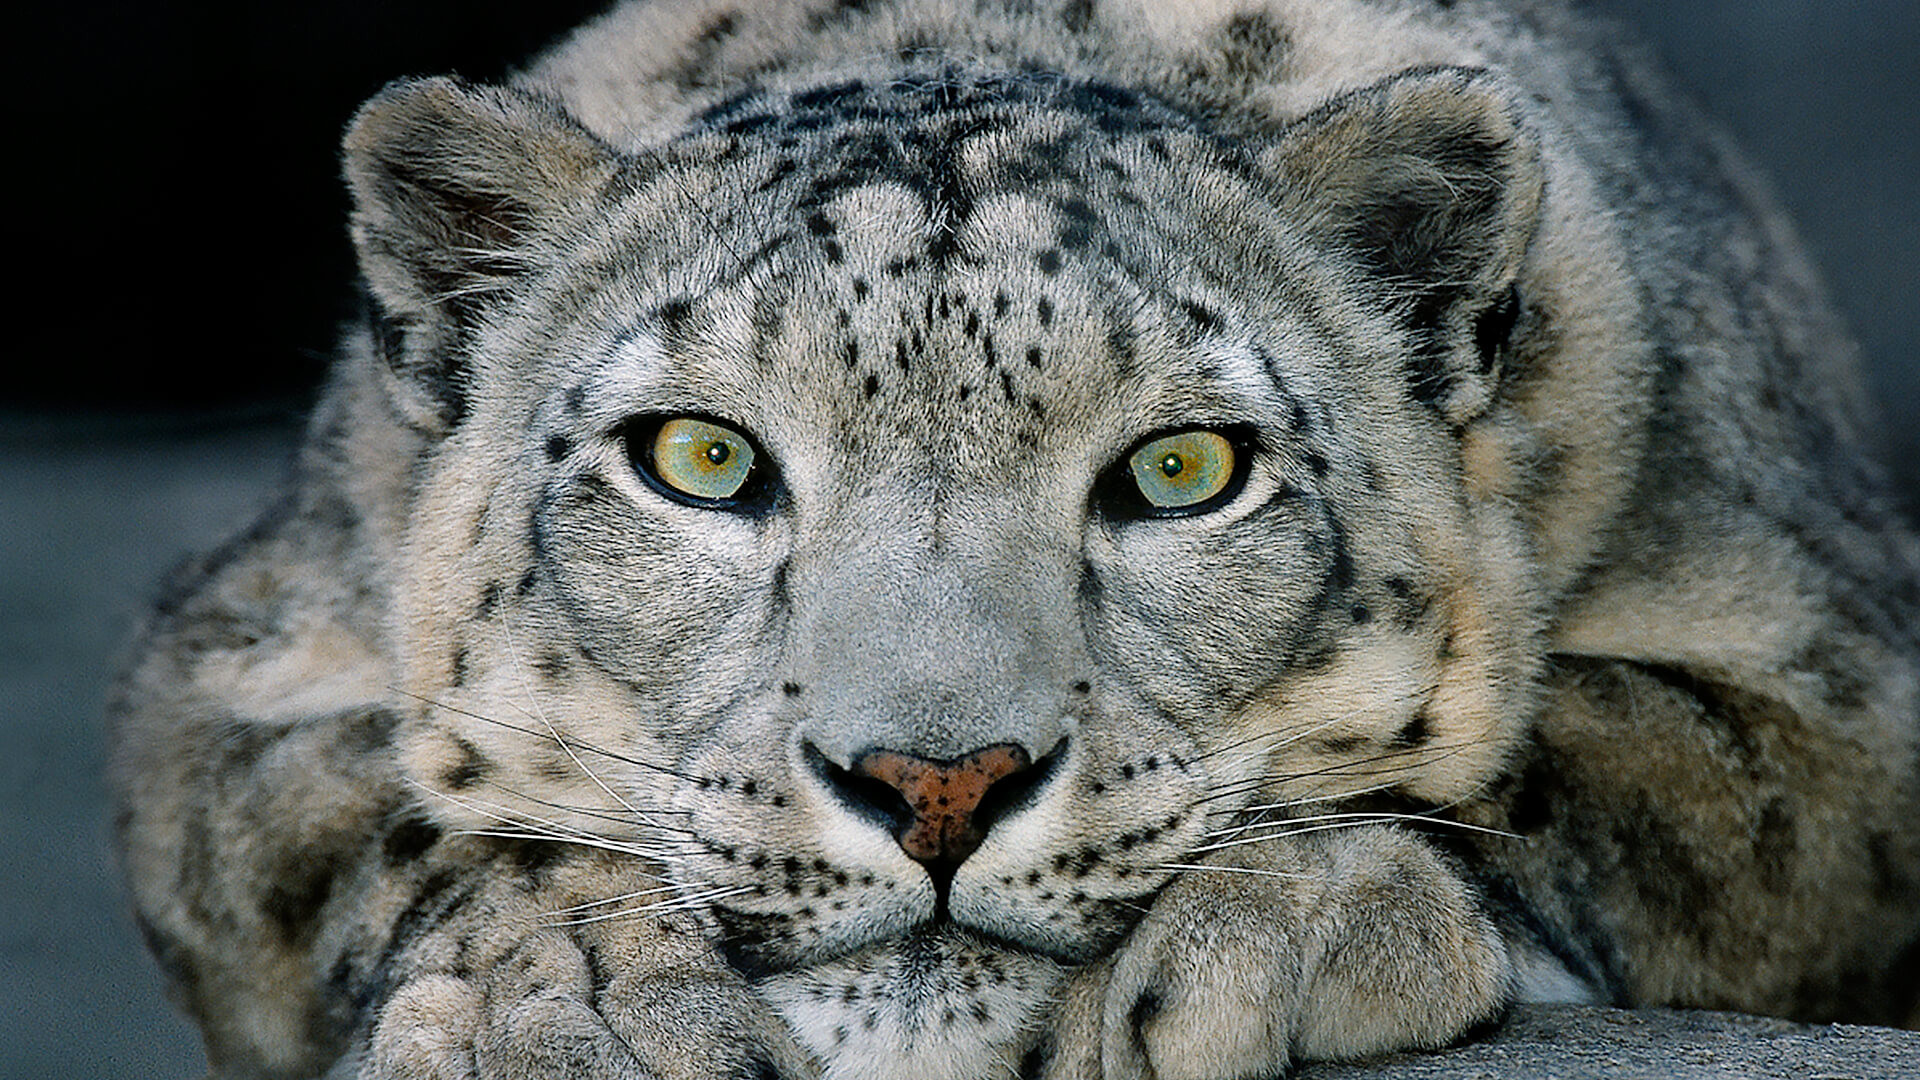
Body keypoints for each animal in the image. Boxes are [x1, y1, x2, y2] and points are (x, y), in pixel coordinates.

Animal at [109, 1, 1920, 1078]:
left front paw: (1265, 935)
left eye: (1184, 470)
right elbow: (412, 817)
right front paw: (565, 999)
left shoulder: (1831, 685)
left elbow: (1569, 760)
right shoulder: (233, 674)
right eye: (700, 456)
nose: (937, 784)